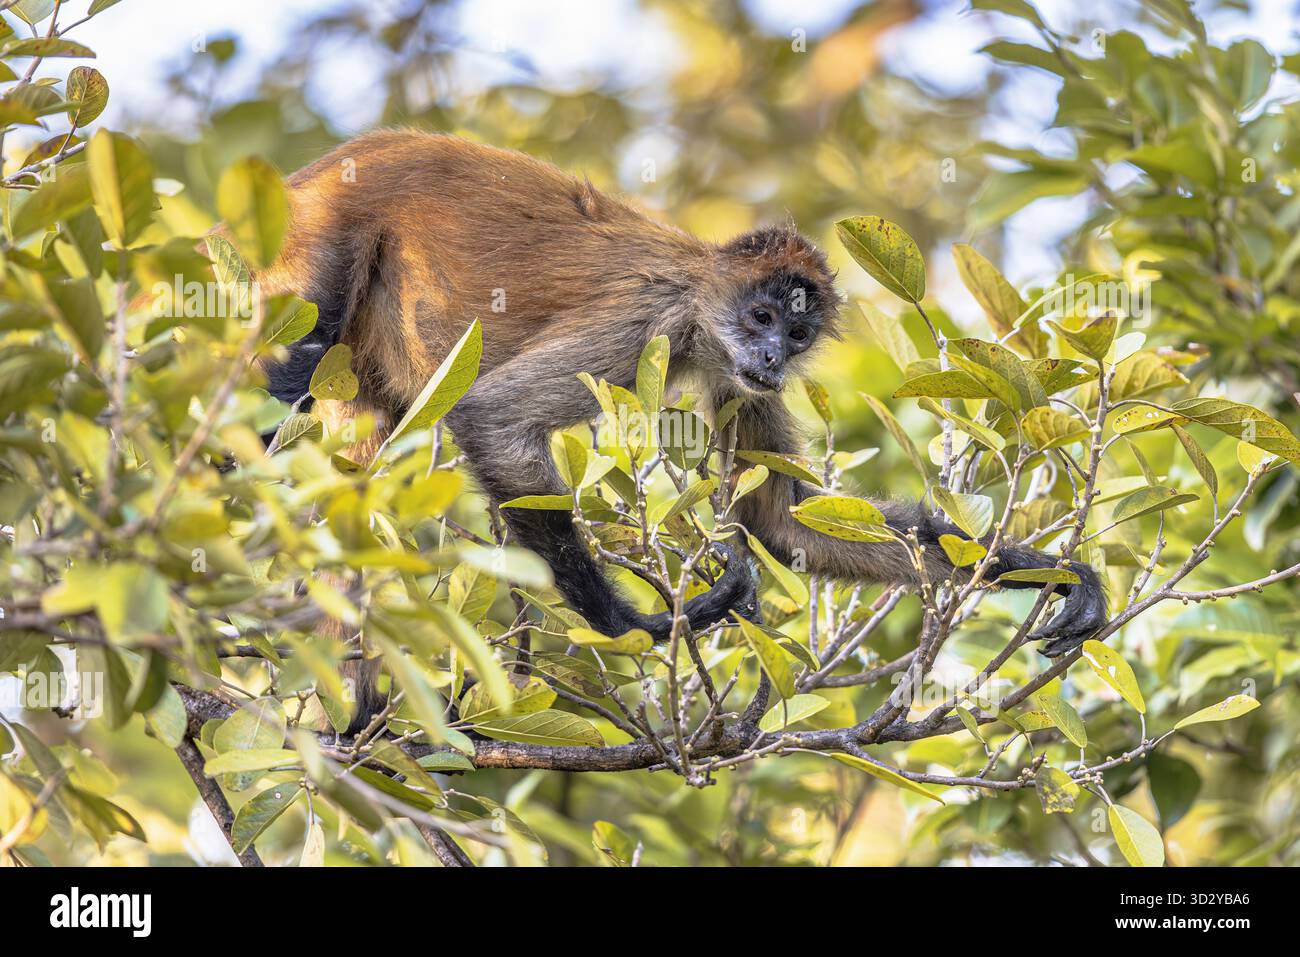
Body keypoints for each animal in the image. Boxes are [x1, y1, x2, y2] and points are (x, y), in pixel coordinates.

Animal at [249, 130, 1108, 732]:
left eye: (797, 334)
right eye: (761, 317)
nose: (773, 354)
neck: (702, 298)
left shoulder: (733, 376)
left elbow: (782, 521)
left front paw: (1053, 571)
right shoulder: (651, 320)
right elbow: (493, 417)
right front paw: (637, 624)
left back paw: (354, 720)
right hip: (320, 243)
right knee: (294, 372)